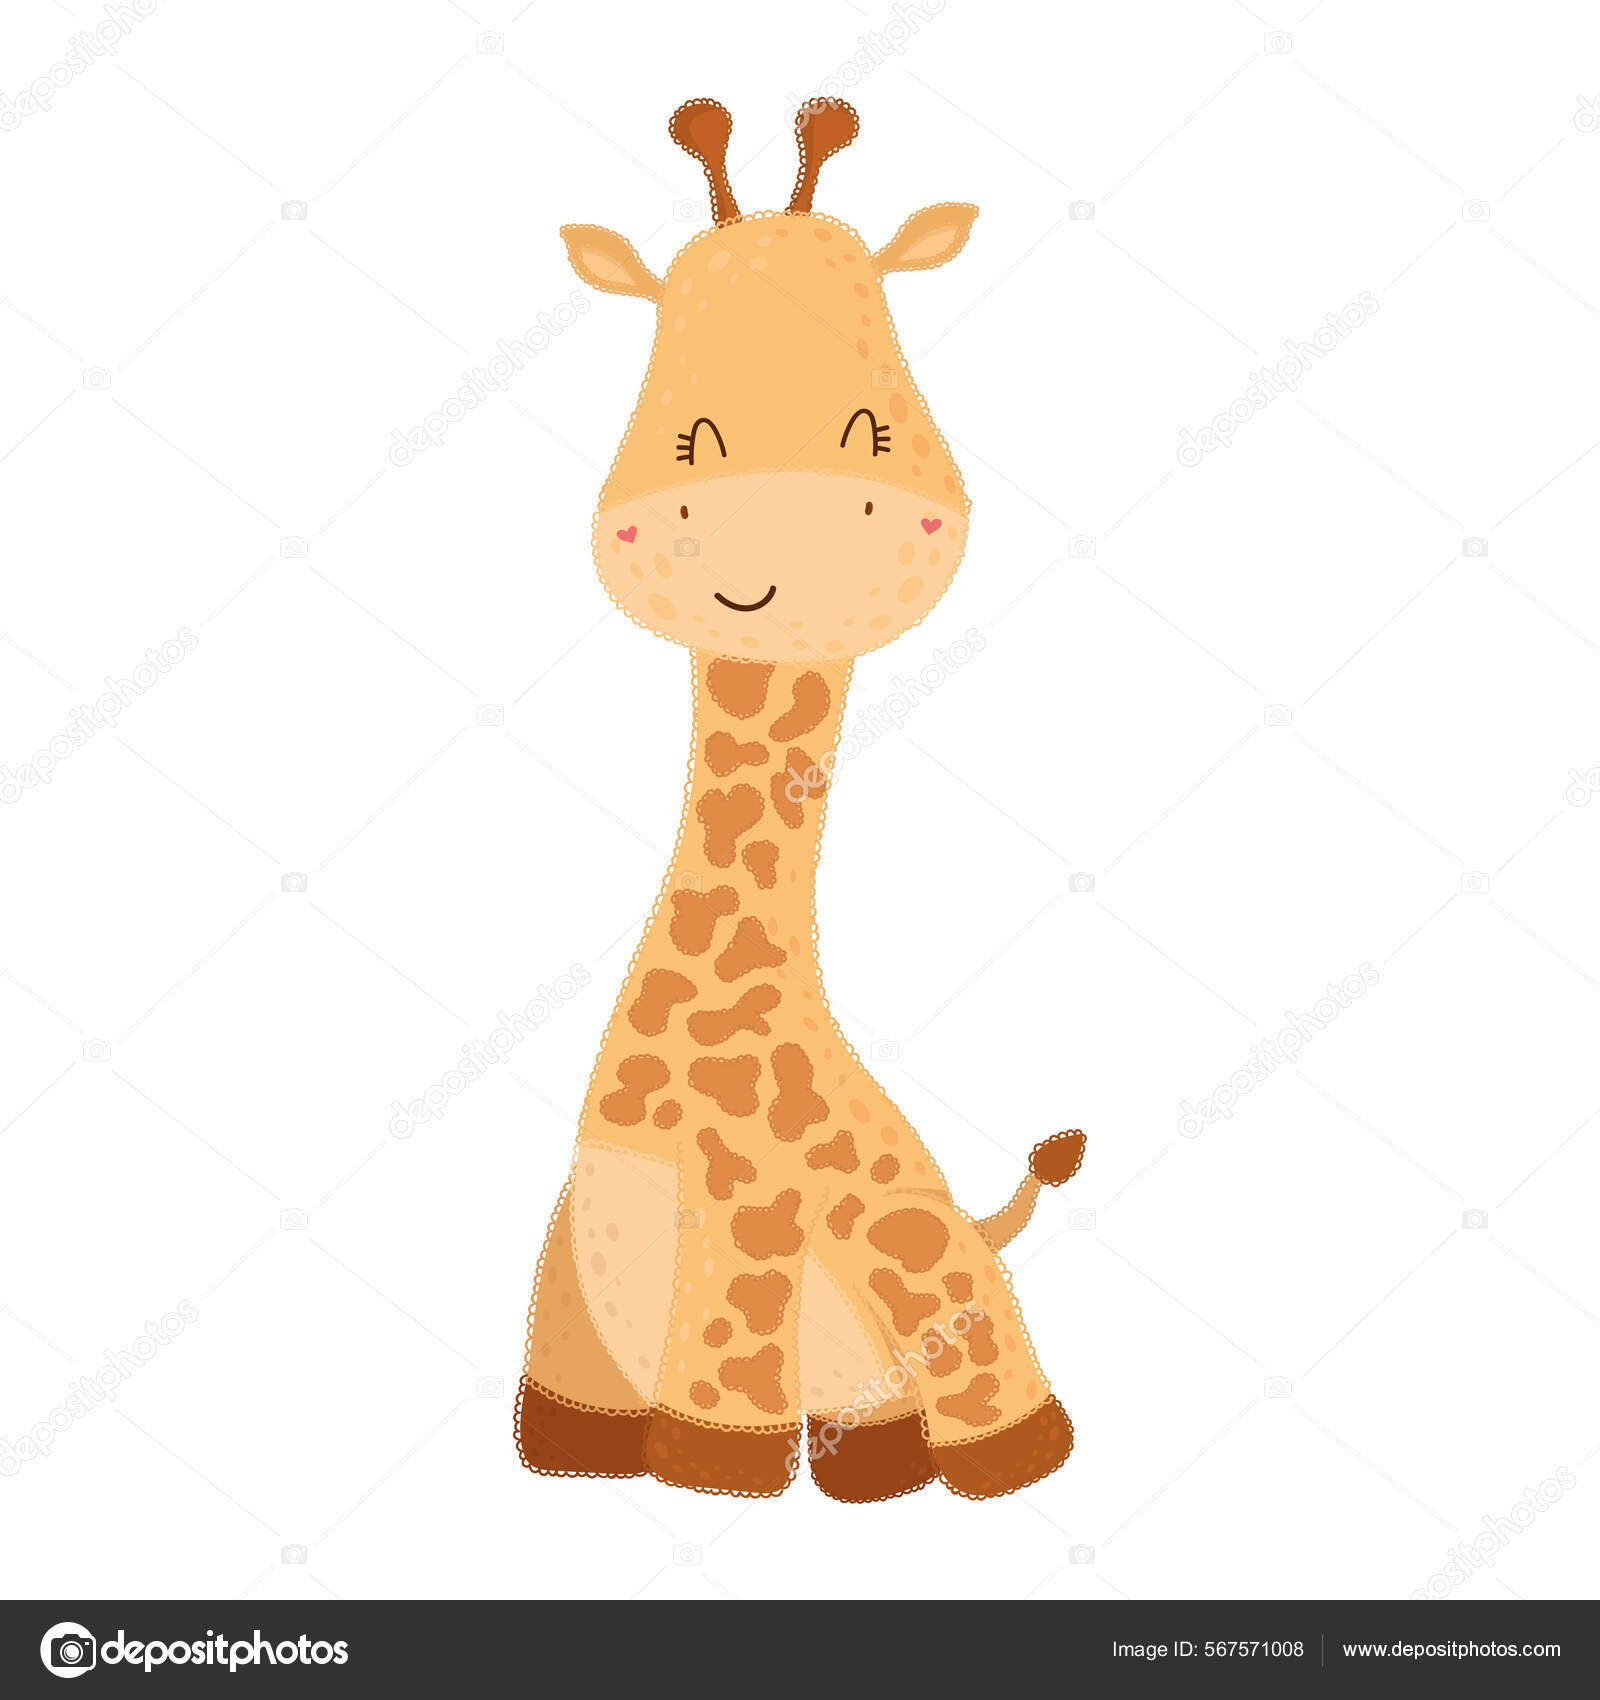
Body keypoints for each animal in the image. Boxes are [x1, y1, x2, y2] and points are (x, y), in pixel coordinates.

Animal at [517, 97, 1087, 1503]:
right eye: (686, 439)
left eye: (870, 432)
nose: (760, 548)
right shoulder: (579, 1251)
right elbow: (568, 1397)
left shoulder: (751, 1221)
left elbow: (720, 1385)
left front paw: (708, 1472)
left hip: (932, 1287)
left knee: (982, 1369)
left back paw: (1001, 1459)